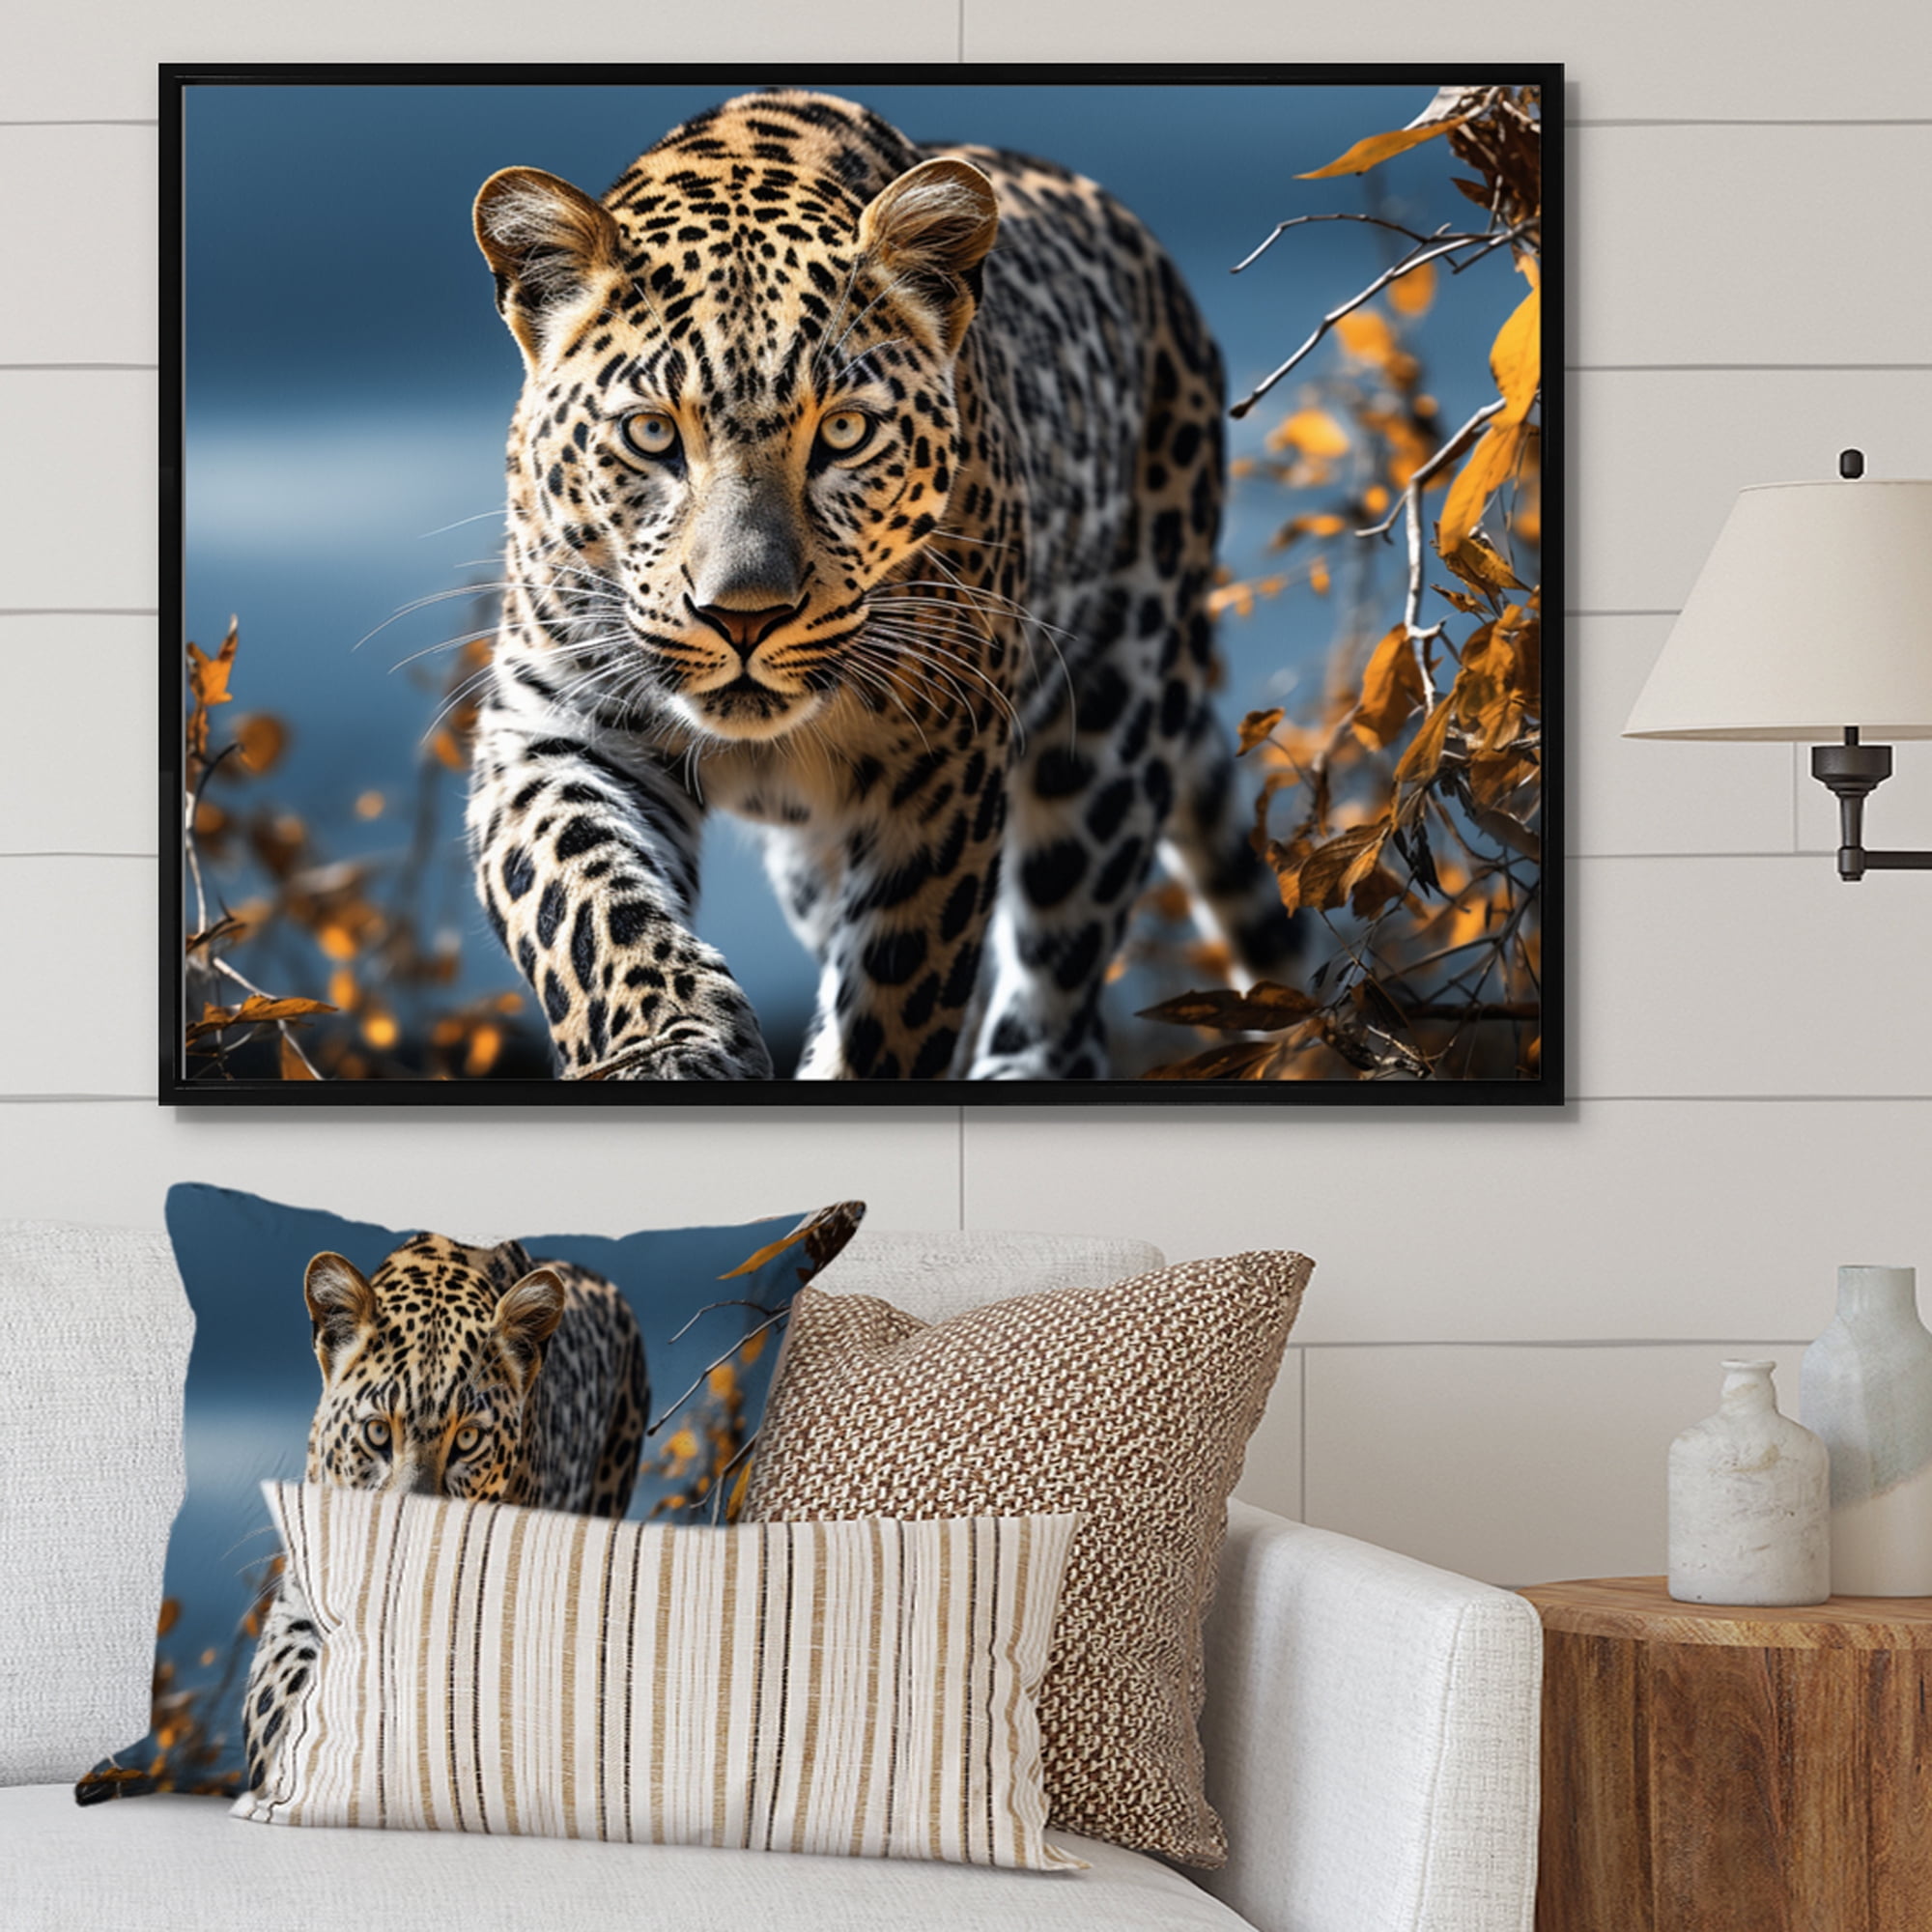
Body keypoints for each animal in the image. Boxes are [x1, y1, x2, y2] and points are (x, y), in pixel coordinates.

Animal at [466, 87, 1295, 1081]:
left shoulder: (942, 766)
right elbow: (581, 894)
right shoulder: (556, 721)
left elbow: (896, 991)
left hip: (1111, 718)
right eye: (653, 434)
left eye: (846, 433)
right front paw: (666, 1044)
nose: (745, 619)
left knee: (1061, 987)